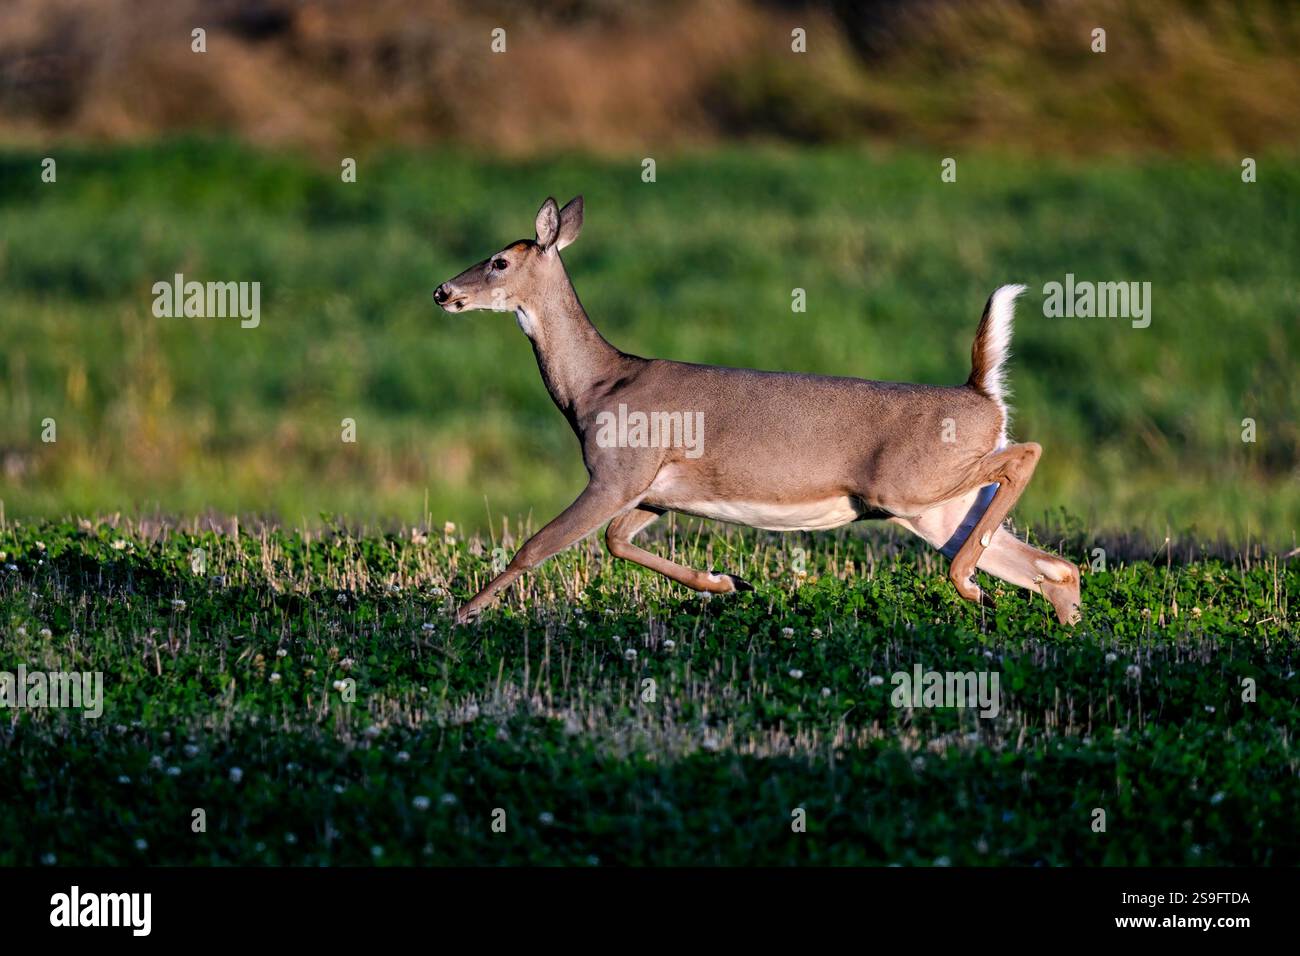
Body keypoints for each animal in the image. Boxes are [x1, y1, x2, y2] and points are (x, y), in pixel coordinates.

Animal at [434, 196, 1082, 627]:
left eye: (498, 261)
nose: (443, 292)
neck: (595, 388)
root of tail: (981, 395)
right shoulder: (652, 490)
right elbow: (616, 542)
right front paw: (726, 580)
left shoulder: (617, 471)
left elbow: (535, 546)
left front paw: (457, 617)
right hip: (937, 509)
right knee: (1054, 566)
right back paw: (1040, 614)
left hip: (909, 483)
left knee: (1027, 455)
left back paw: (969, 586)